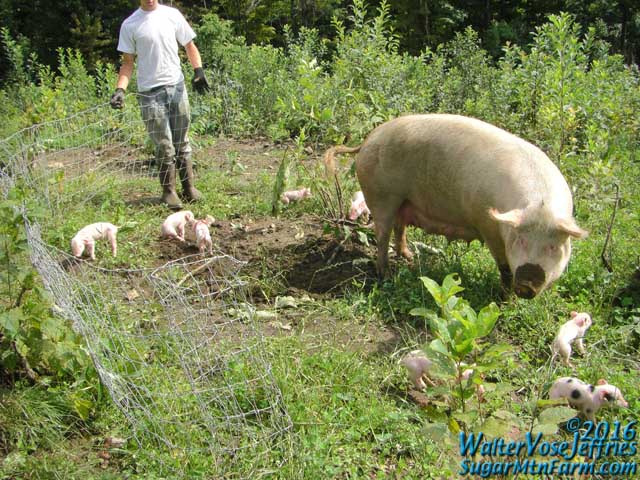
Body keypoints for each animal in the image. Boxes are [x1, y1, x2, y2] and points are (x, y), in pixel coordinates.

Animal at [324, 114, 588, 298]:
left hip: (403, 200)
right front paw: (505, 298)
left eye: (553, 247)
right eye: (521, 240)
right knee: (382, 235)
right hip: (382, 195)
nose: (526, 285)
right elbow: (503, 265)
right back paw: (386, 273)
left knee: (400, 228)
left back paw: (409, 257)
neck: (539, 207)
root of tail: (367, 141)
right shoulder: (487, 225)